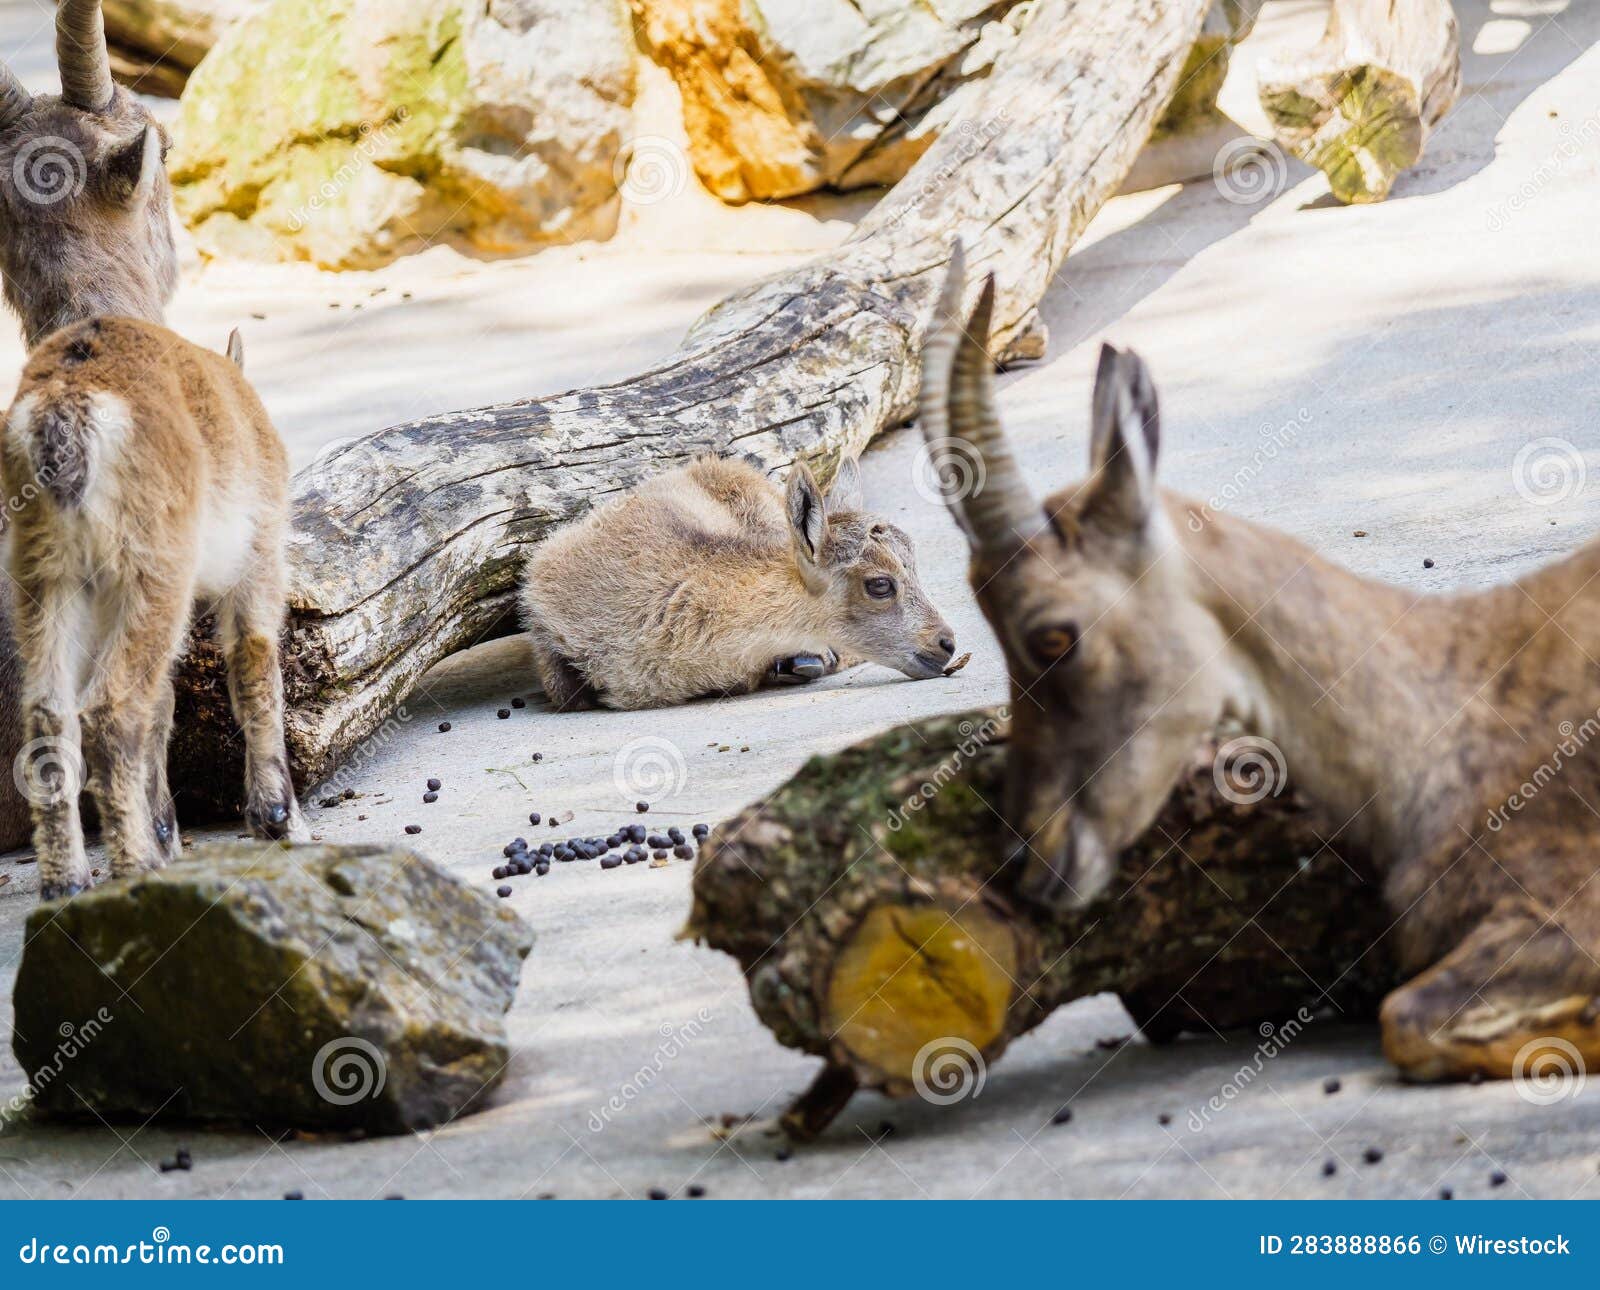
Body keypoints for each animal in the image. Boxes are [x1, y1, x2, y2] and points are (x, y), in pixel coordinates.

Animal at [2, 316, 306, 899]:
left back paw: (69, 882)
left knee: (51, 711)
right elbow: (255, 663)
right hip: (152, 565)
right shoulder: (260, 553)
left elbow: (164, 701)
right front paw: (280, 819)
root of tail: (62, 409)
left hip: (47, 575)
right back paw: (135, 868)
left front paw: (167, 833)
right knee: (109, 708)